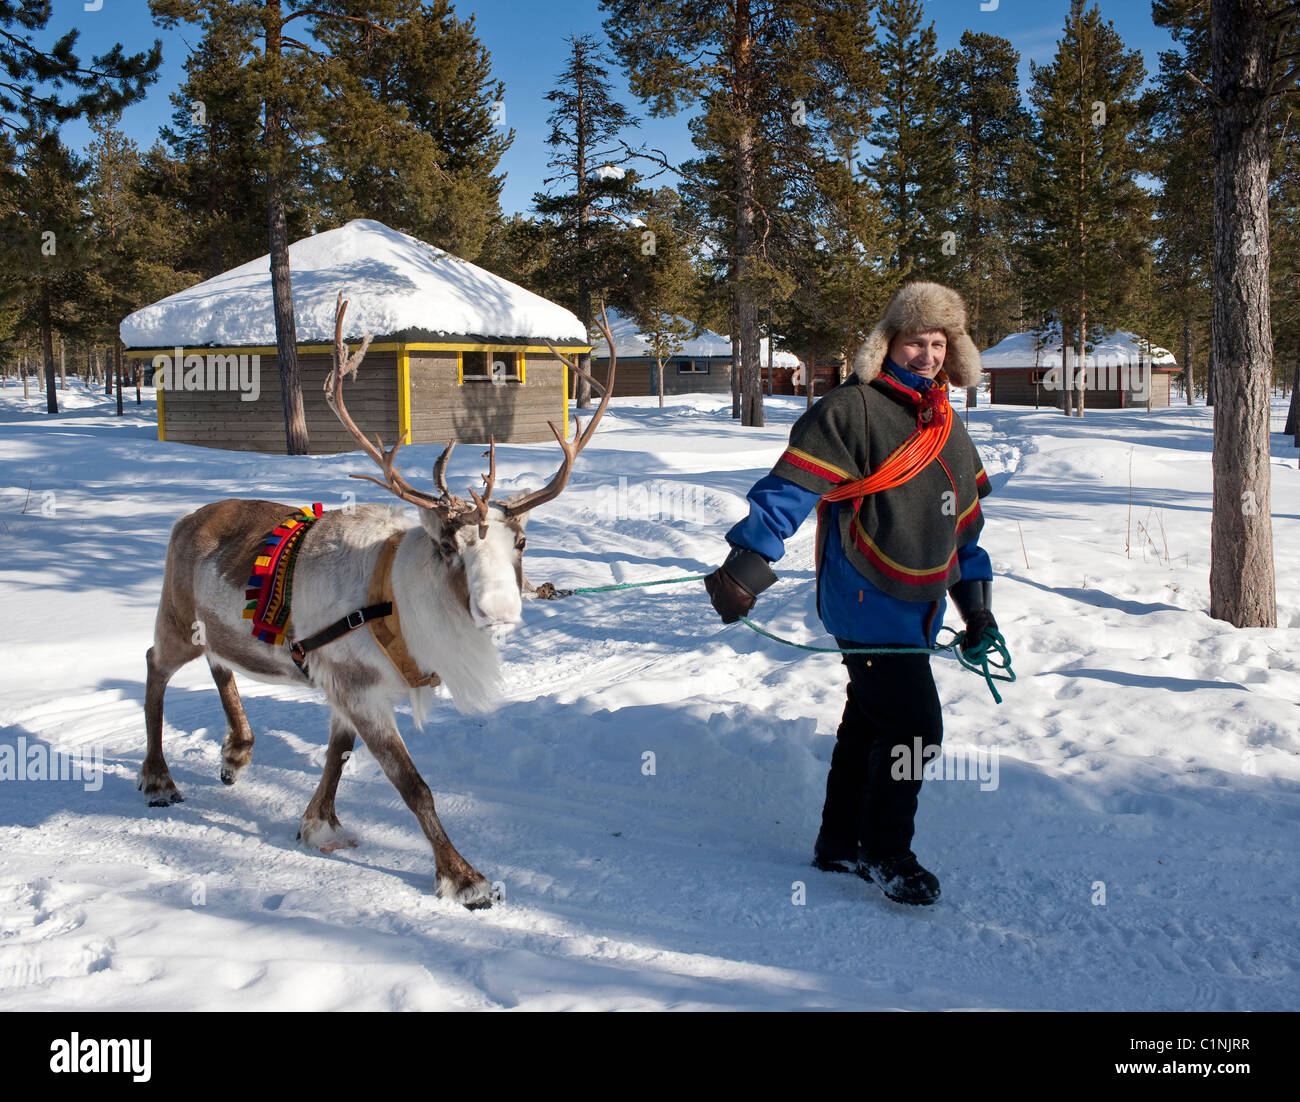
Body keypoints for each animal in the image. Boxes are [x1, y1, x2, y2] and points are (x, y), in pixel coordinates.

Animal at [139, 294, 615, 909]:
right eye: (448, 546)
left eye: (522, 543)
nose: (500, 611)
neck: (398, 602)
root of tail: (184, 520)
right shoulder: (357, 688)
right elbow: (414, 786)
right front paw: (465, 879)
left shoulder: (347, 688)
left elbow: (336, 756)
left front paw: (318, 824)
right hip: (176, 620)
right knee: (155, 667)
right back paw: (158, 779)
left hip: (216, 629)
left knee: (222, 665)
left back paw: (236, 753)